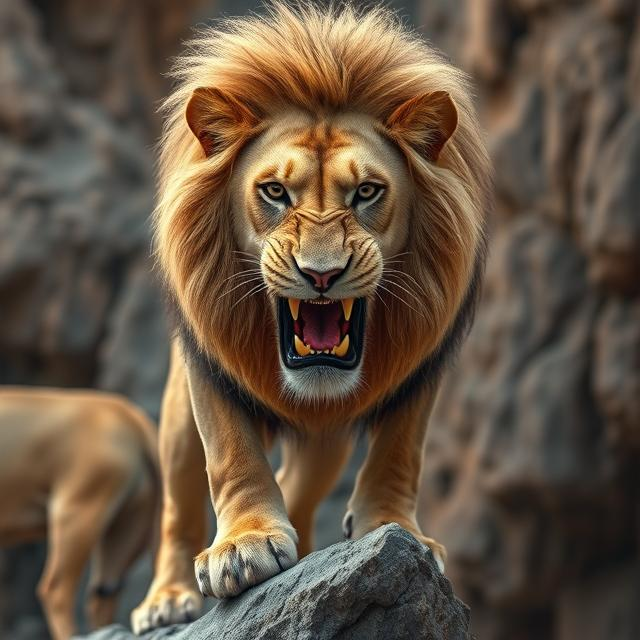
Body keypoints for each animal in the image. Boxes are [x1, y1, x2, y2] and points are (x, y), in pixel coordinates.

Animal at [132, 3, 490, 633]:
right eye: (275, 191)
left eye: (367, 191)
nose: (321, 274)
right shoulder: (209, 362)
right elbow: (231, 453)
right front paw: (243, 547)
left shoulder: (422, 366)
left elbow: (400, 451)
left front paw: (392, 528)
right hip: (175, 422)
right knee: (178, 502)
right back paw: (169, 598)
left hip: (326, 445)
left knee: (300, 483)